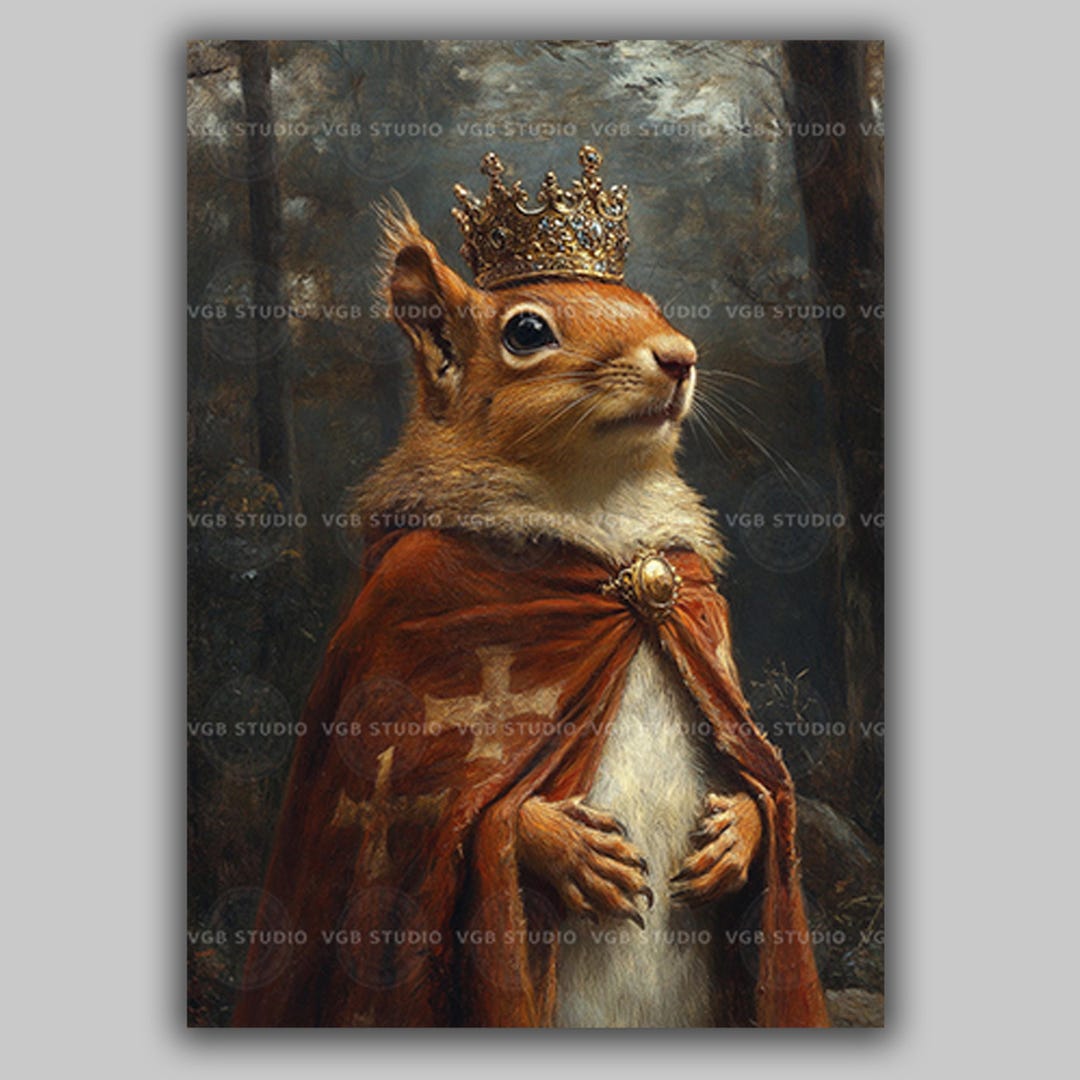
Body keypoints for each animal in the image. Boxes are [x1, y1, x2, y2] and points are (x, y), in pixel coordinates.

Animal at [352, 197, 766, 1028]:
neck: (601, 520)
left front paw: (739, 832)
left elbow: (767, 791)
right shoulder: (405, 607)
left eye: (652, 306)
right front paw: (562, 845)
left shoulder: (696, 605)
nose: (680, 355)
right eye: (526, 331)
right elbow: (452, 806)